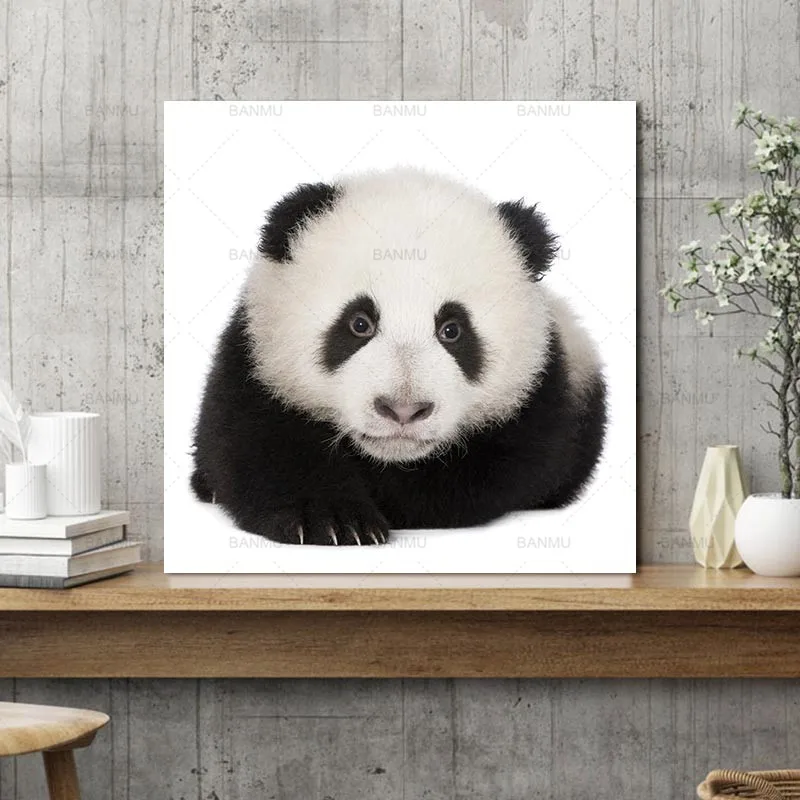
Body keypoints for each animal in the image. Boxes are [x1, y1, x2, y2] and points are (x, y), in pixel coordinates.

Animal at [190, 167, 607, 545]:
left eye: (452, 330)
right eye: (359, 323)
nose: (403, 410)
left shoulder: (542, 397)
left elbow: (489, 474)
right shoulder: (254, 360)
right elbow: (256, 445)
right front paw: (334, 521)